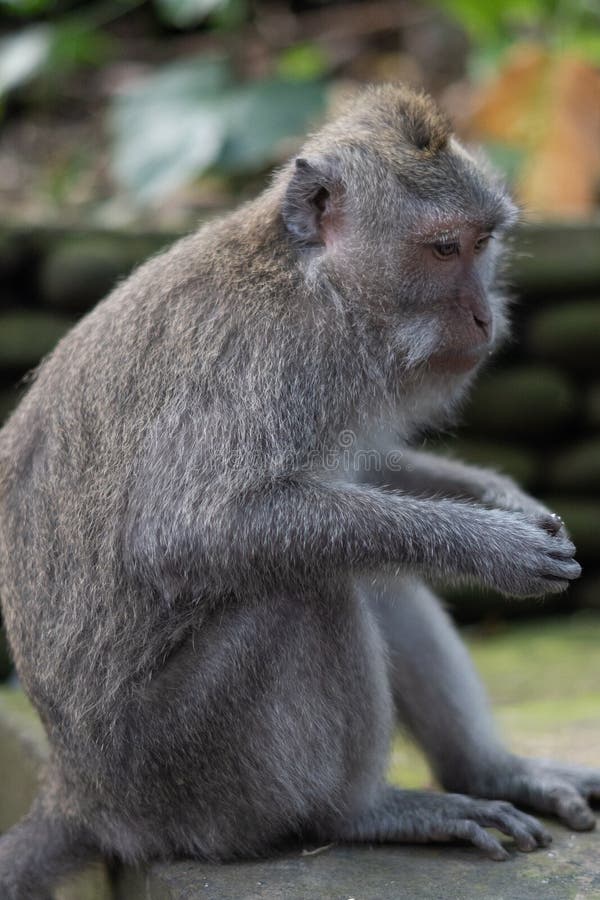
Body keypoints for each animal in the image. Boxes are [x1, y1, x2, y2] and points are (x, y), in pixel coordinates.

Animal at [0, 83, 597, 899]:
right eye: (445, 248)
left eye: (484, 244)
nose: (485, 317)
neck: (313, 283)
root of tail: (76, 796)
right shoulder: (267, 360)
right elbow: (194, 531)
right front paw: (491, 546)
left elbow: (351, 476)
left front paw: (504, 497)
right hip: (185, 773)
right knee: (305, 587)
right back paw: (365, 811)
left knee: (366, 565)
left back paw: (492, 772)